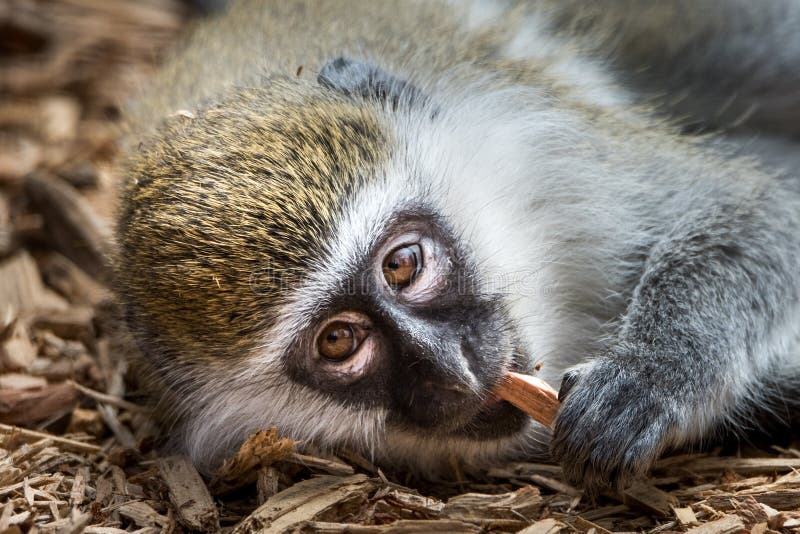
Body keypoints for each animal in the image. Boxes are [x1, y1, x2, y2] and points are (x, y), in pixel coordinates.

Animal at [116, 0, 800, 491]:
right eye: (338, 341)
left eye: (402, 265)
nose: (455, 368)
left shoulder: (577, 161)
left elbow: (756, 215)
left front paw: (647, 376)